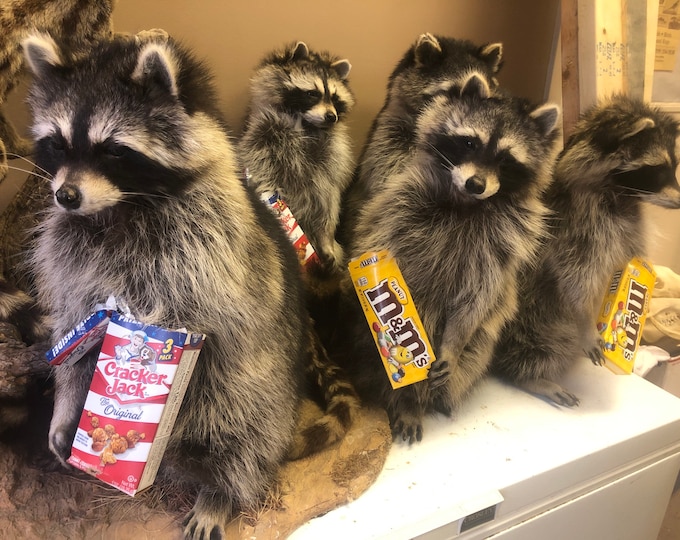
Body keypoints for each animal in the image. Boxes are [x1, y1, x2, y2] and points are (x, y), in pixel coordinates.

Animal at [23, 32, 309, 538]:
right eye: (56, 143)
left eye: (114, 149)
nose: (65, 195)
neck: (116, 208)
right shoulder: (69, 259)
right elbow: (74, 337)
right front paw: (66, 405)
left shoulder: (206, 245)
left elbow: (196, 317)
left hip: (259, 378)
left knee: (242, 425)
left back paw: (221, 489)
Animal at [239, 41, 355, 272]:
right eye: (312, 94)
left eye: (335, 98)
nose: (331, 116)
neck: (305, 124)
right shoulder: (262, 134)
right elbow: (260, 166)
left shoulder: (333, 155)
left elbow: (327, 197)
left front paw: (326, 238)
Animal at [335, 74, 560, 442]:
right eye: (469, 143)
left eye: (506, 160)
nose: (476, 183)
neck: (464, 203)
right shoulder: (398, 207)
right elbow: (378, 244)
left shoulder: (501, 246)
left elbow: (481, 296)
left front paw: (453, 345)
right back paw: (407, 402)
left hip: (478, 347)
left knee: (475, 349)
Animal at [491, 95, 680, 405]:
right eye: (657, 170)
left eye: (672, 168)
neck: (622, 196)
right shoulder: (577, 231)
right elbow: (575, 282)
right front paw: (586, 321)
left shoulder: (628, 228)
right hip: (533, 321)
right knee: (536, 345)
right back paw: (531, 377)